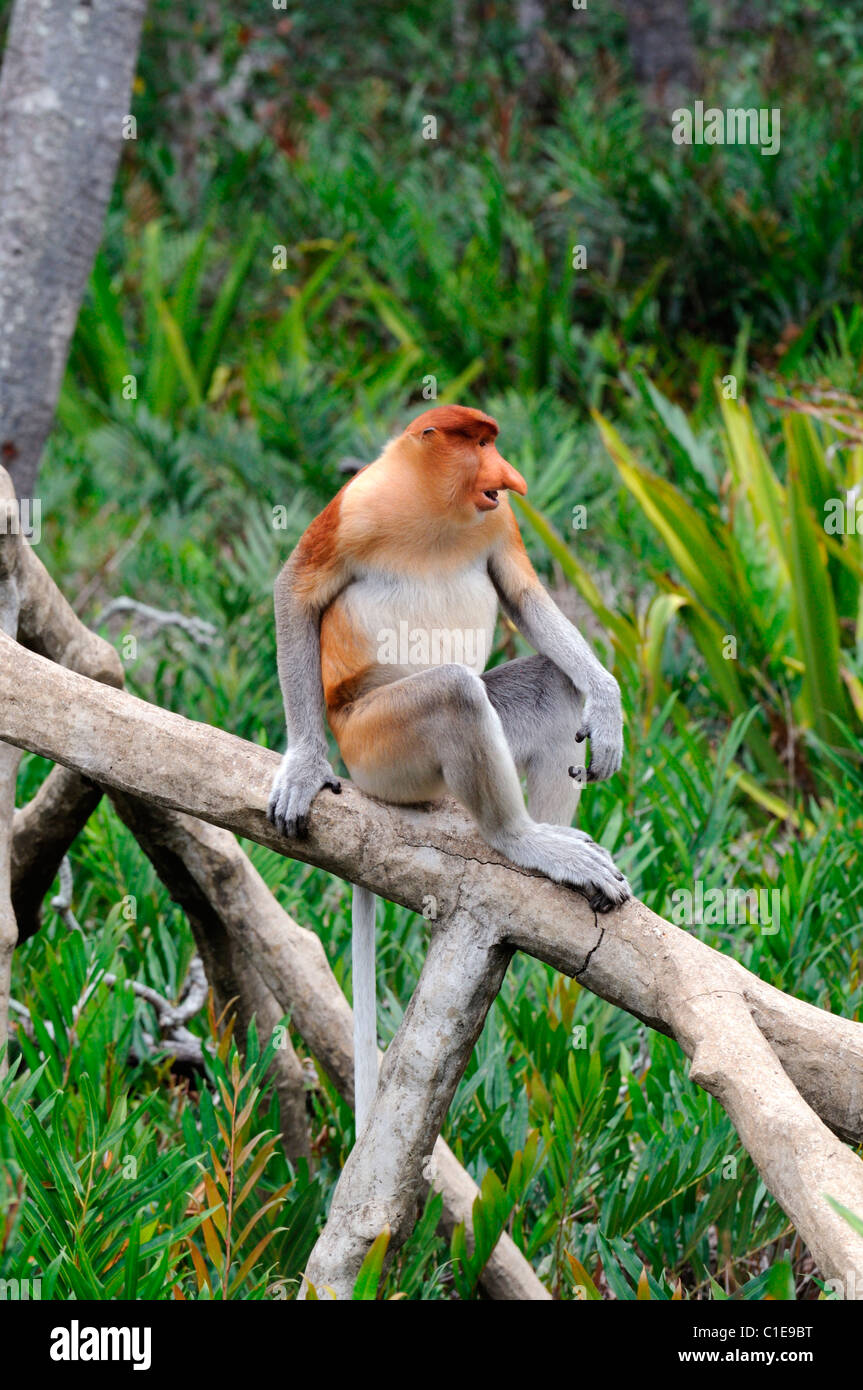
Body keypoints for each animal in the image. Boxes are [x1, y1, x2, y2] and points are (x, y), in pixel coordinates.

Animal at [268, 404, 630, 1134]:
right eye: (478, 444)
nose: (510, 478)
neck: (432, 506)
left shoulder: (498, 524)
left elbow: (524, 595)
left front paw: (606, 702)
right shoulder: (354, 508)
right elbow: (296, 591)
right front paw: (303, 766)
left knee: (550, 685)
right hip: (378, 746)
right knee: (456, 694)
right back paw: (522, 842)